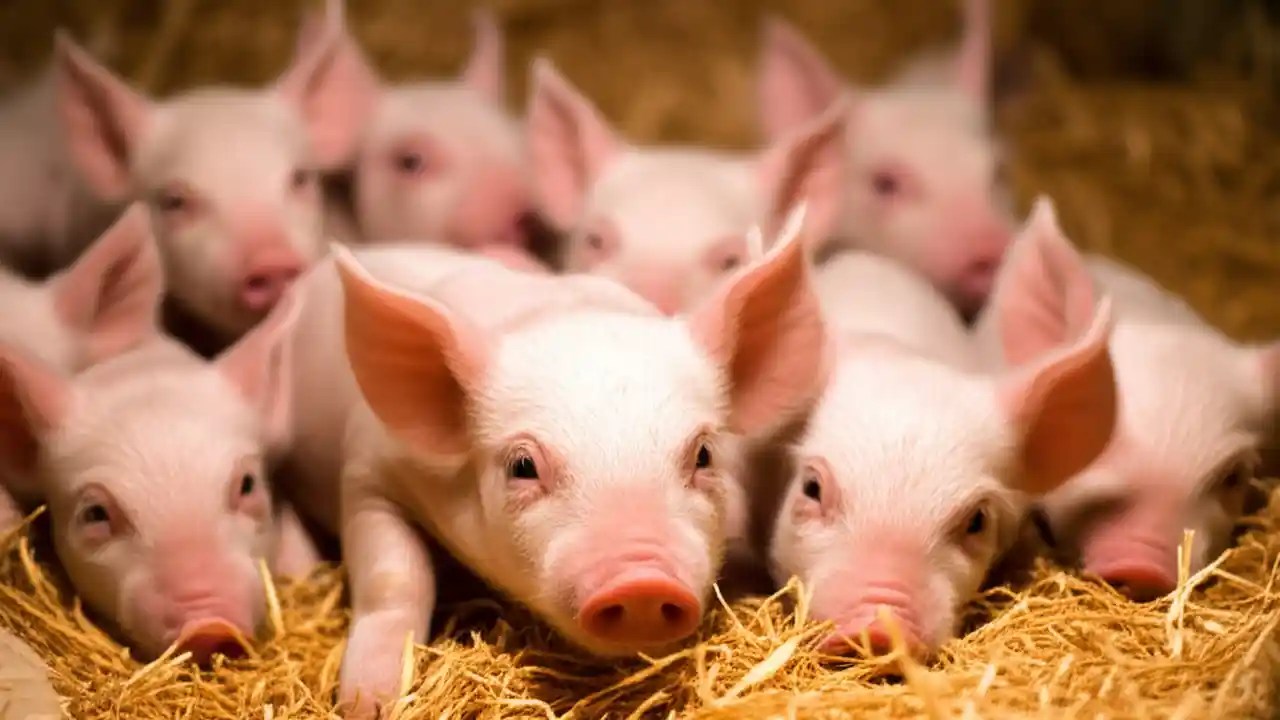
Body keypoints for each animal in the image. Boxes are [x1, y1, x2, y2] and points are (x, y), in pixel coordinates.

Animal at [280, 214, 829, 714]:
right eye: (523, 465)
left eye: (703, 454)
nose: (643, 581)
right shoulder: (369, 472)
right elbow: (393, 576)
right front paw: (369, 703)